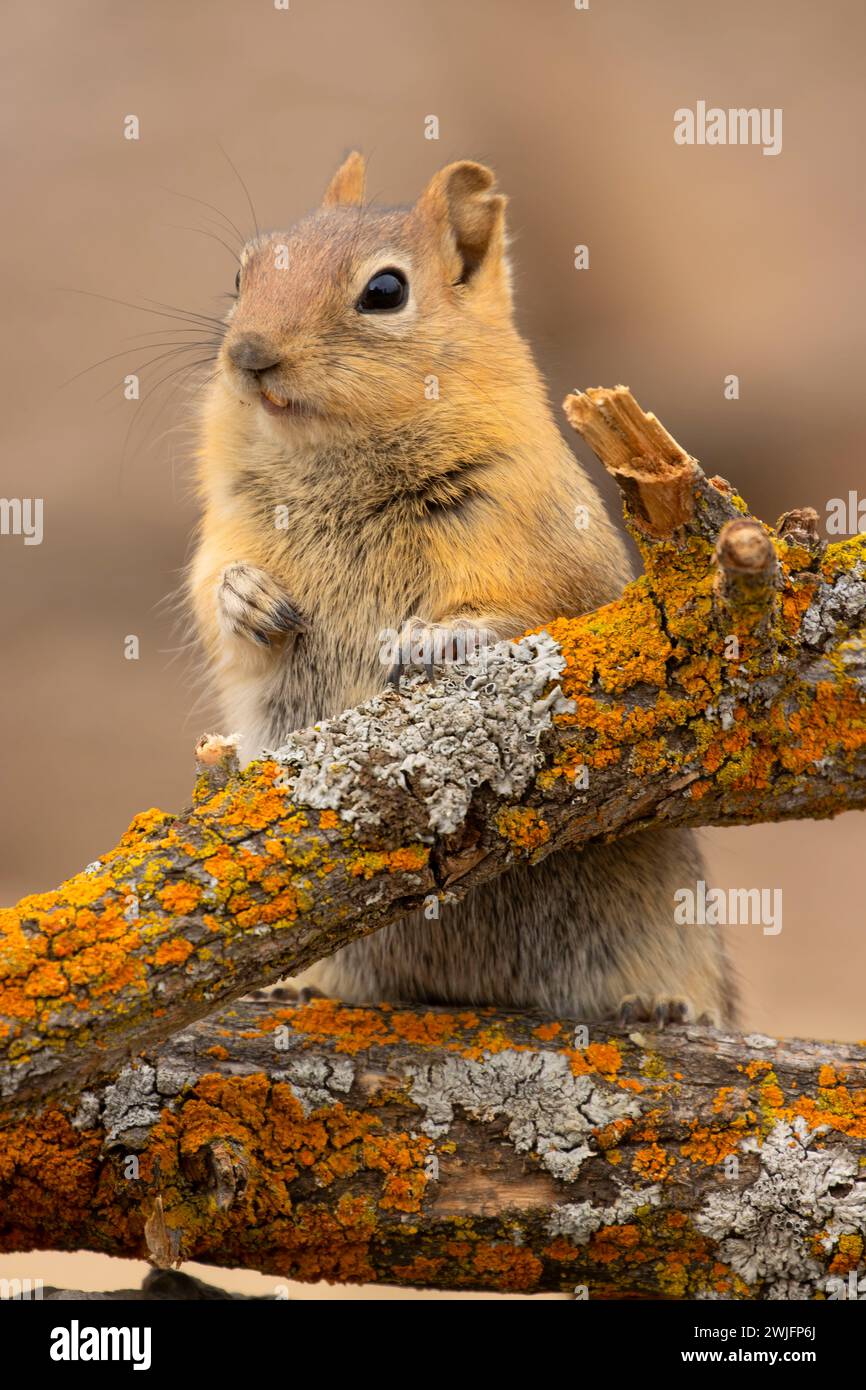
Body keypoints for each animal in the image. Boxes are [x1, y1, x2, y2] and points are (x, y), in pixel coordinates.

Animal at [188, 152, 738, 1027]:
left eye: (385, 291)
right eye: (243, 271)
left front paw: (436, 634)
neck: (338, 463)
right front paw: (246, 597)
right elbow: (219, 601)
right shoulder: (225, 529)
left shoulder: (542, 547)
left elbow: (535, 610)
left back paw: (662, 1008)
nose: (248, 354)